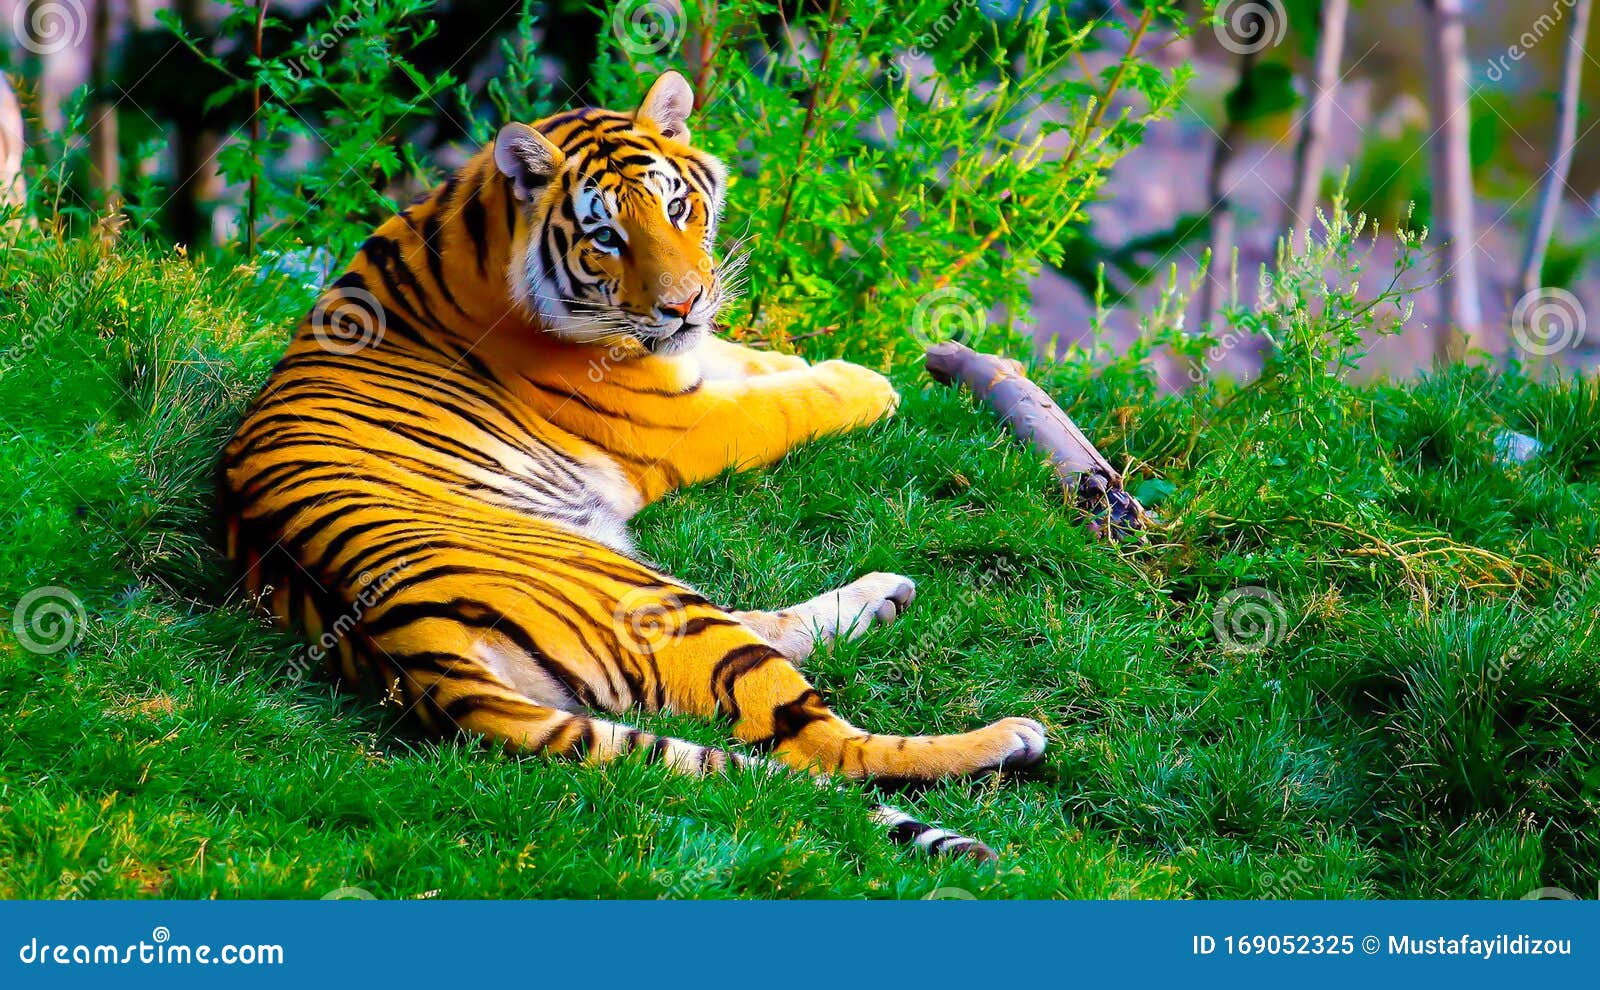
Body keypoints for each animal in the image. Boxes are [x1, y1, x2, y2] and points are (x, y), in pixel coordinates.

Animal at [218, 71, 1046, 862]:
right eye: (606, 237)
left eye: (679, 208)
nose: (682, 305)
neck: (478, 228)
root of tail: (406, 648)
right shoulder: (684, 423)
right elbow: (782, 405)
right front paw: (866, 385)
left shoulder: (688, 363)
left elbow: (747, 360)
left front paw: (803, 360)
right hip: (643, 596)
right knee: (822, 746)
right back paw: (1006, 736)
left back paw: (883, 597)